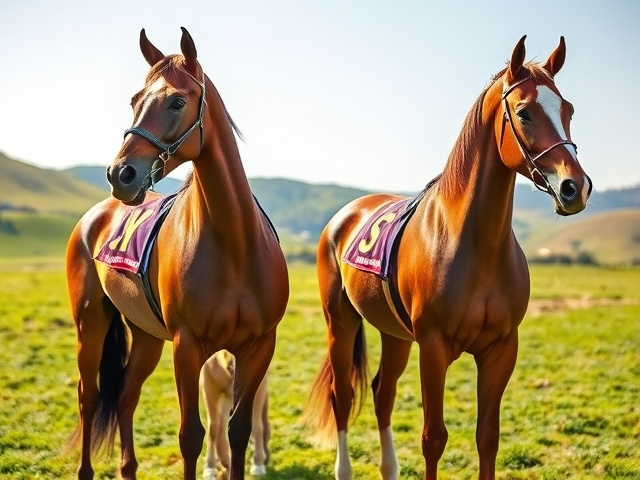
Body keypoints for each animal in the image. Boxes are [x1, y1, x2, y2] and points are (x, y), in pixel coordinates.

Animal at [199, 350, 270, 479]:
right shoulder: (209, 386)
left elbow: (257, 426)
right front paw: (209, 468)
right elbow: (213, 428)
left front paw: (258, 465)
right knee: (220, 426)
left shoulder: (258, 387)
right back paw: (224, 462)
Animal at [305, 36, 591, 480]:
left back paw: (389, 467)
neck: (473, 244)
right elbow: (433, 438)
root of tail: (343, 216)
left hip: (394, 333)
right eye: (524, 112)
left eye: (569, 111)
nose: (574, 187)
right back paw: (345, 469)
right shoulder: (433, 347)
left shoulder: (501, 349)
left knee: (383, 392)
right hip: (340, 321)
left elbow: (487, 437)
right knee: (343, 394)